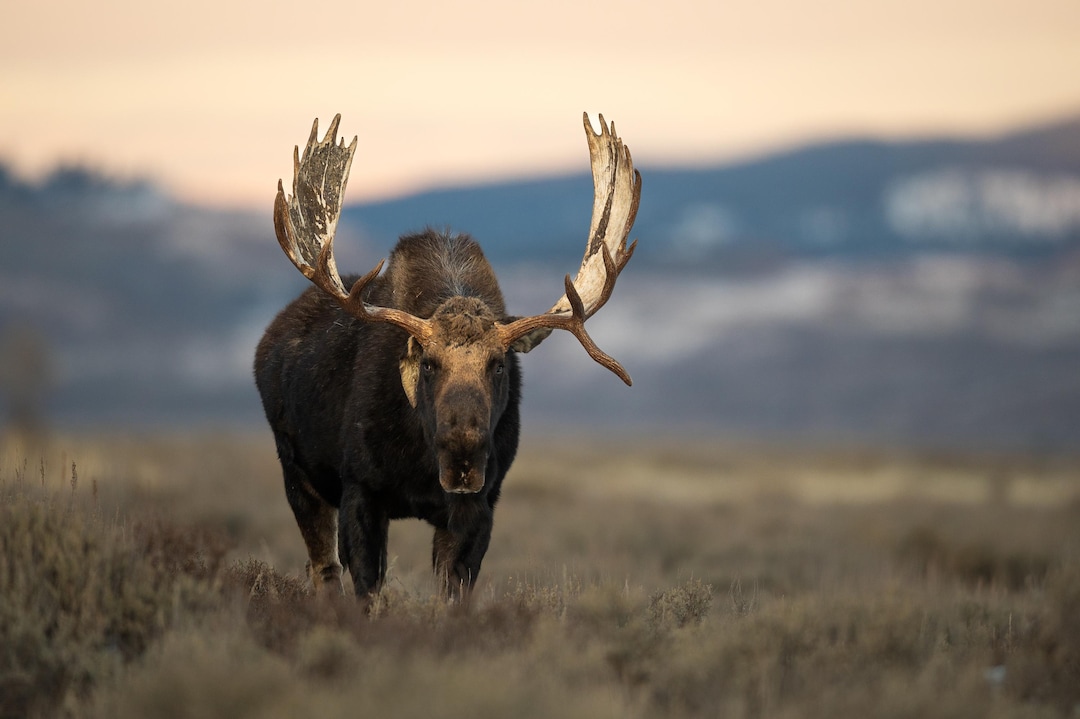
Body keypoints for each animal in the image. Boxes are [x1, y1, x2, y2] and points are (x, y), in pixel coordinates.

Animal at [254, 112, 640, 602]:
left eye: (499, 364)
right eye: (427, 363)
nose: (463, 448)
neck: (421, 462)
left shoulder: (479, 506)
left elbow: (453, 594)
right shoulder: (359, 492)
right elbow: (366, 591)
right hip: (297, 474)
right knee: (322, 571)